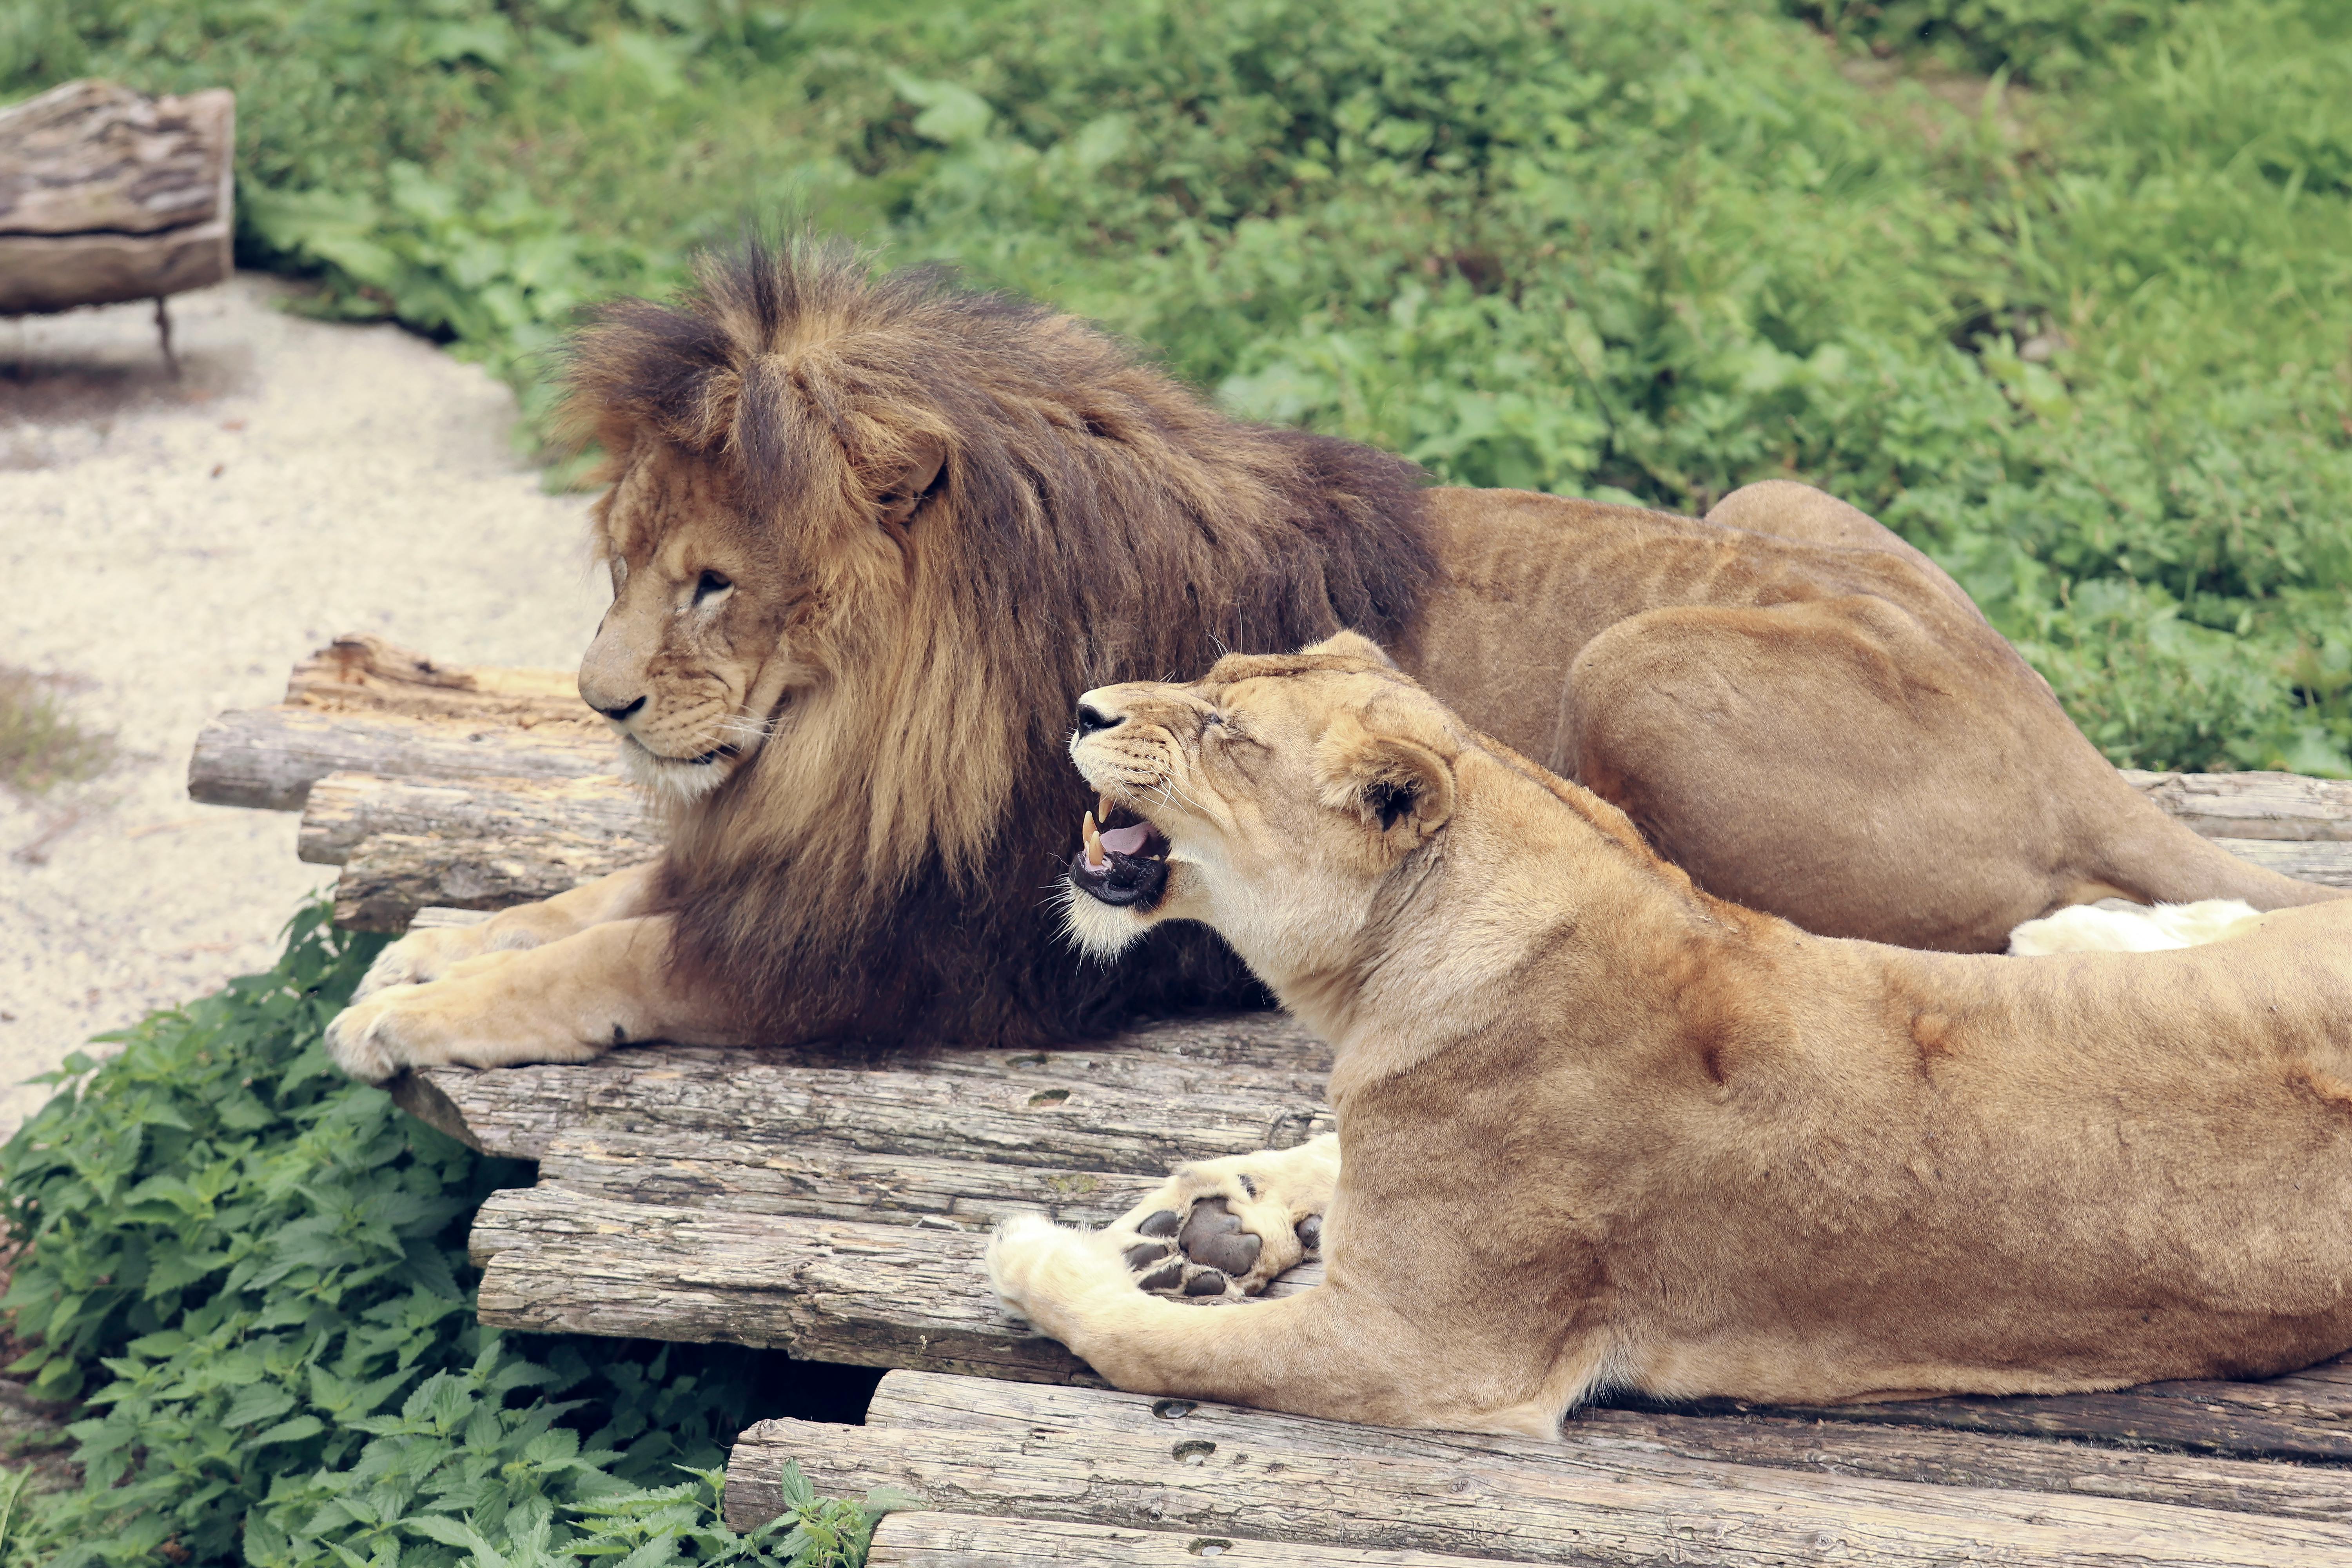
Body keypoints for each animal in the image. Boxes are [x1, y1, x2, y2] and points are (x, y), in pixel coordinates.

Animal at [325, 239, 2336, 1082]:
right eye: (623, 568)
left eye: (715, 586)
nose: (601, 699)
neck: (861, 729)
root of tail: (2056, 736)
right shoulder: (814, 855)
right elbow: (606, 894)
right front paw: (446, 940)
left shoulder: (949, 953)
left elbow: (639, 955)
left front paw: (410, 1009)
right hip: (1765, 504)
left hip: (1642, 664)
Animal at [987, 634, 2352, 1433]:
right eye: (1211, 674)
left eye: (1223, 734)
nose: (1082, 705)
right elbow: (1326, 1155)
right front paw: (1210, 1222)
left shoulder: (1428, 1355)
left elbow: (1152, 1345)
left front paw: (1041, 1255)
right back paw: (2069, 933)